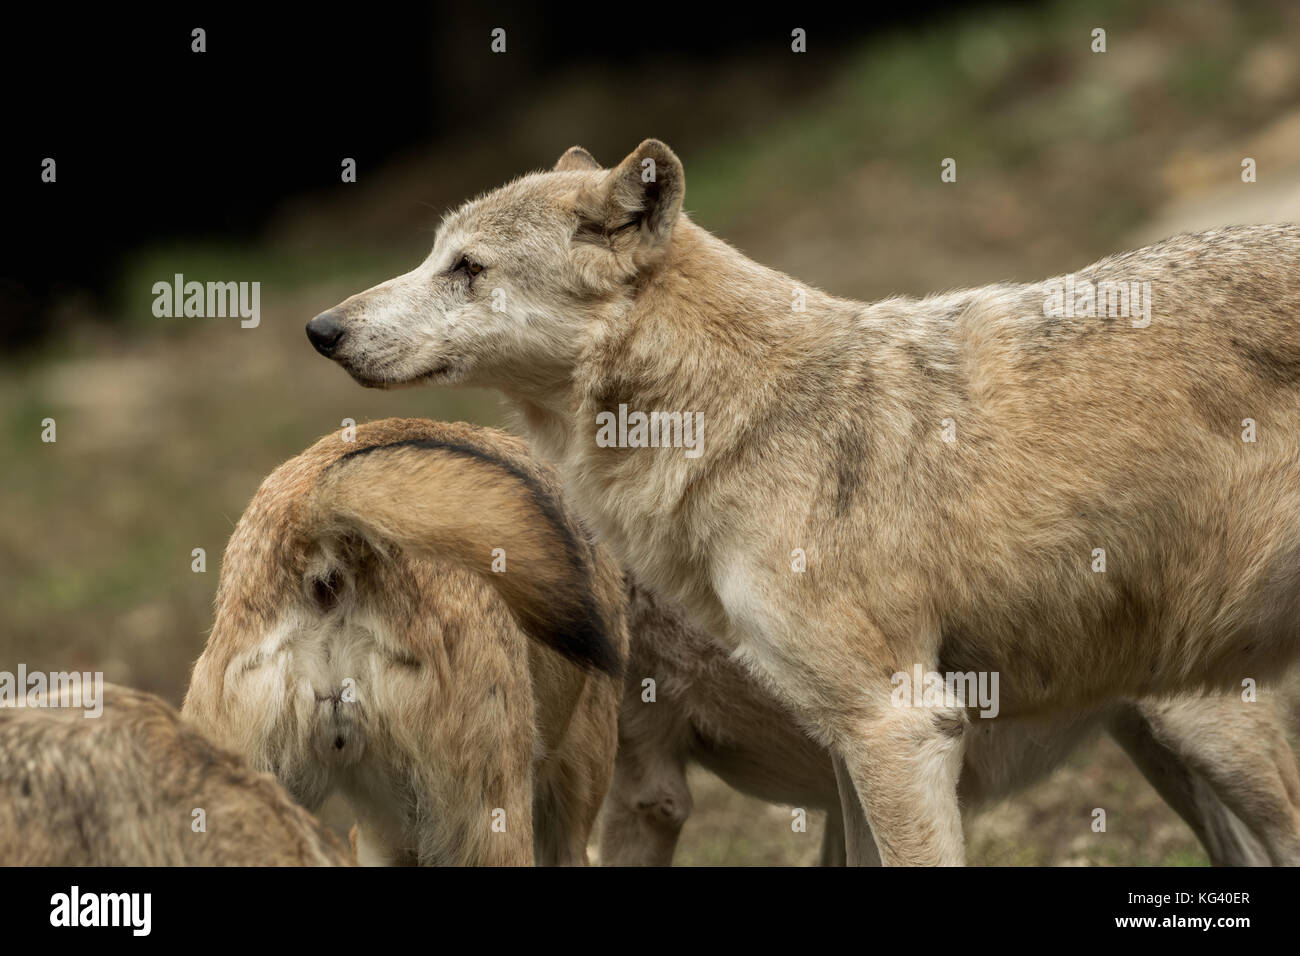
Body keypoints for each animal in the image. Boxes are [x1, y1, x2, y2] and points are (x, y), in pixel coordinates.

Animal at [306, 139, 1300, 865]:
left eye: (467, 270)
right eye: (432, 256)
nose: (322, 329)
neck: (738, 419)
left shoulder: (896, 728)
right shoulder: (846, 752)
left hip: (1206, 726)